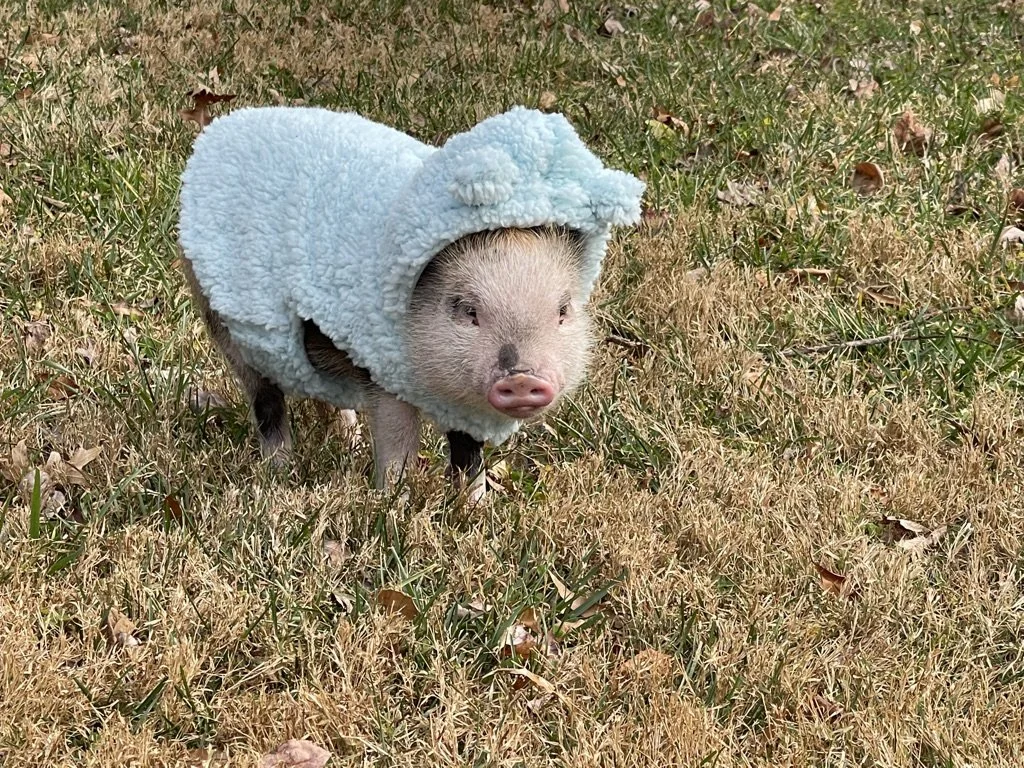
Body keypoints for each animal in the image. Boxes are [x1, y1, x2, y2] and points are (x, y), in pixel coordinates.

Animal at [177, 105, 643, 498]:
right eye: (467, 310)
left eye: (562, 311)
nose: (523, 379)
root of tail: (226, 126)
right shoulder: (383, 375)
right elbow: (397, 442)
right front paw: (392, 502)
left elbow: (467, 454)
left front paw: (476, 508)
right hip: (227, 321)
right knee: (266, 401)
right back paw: (280, 472)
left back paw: (347, 440)